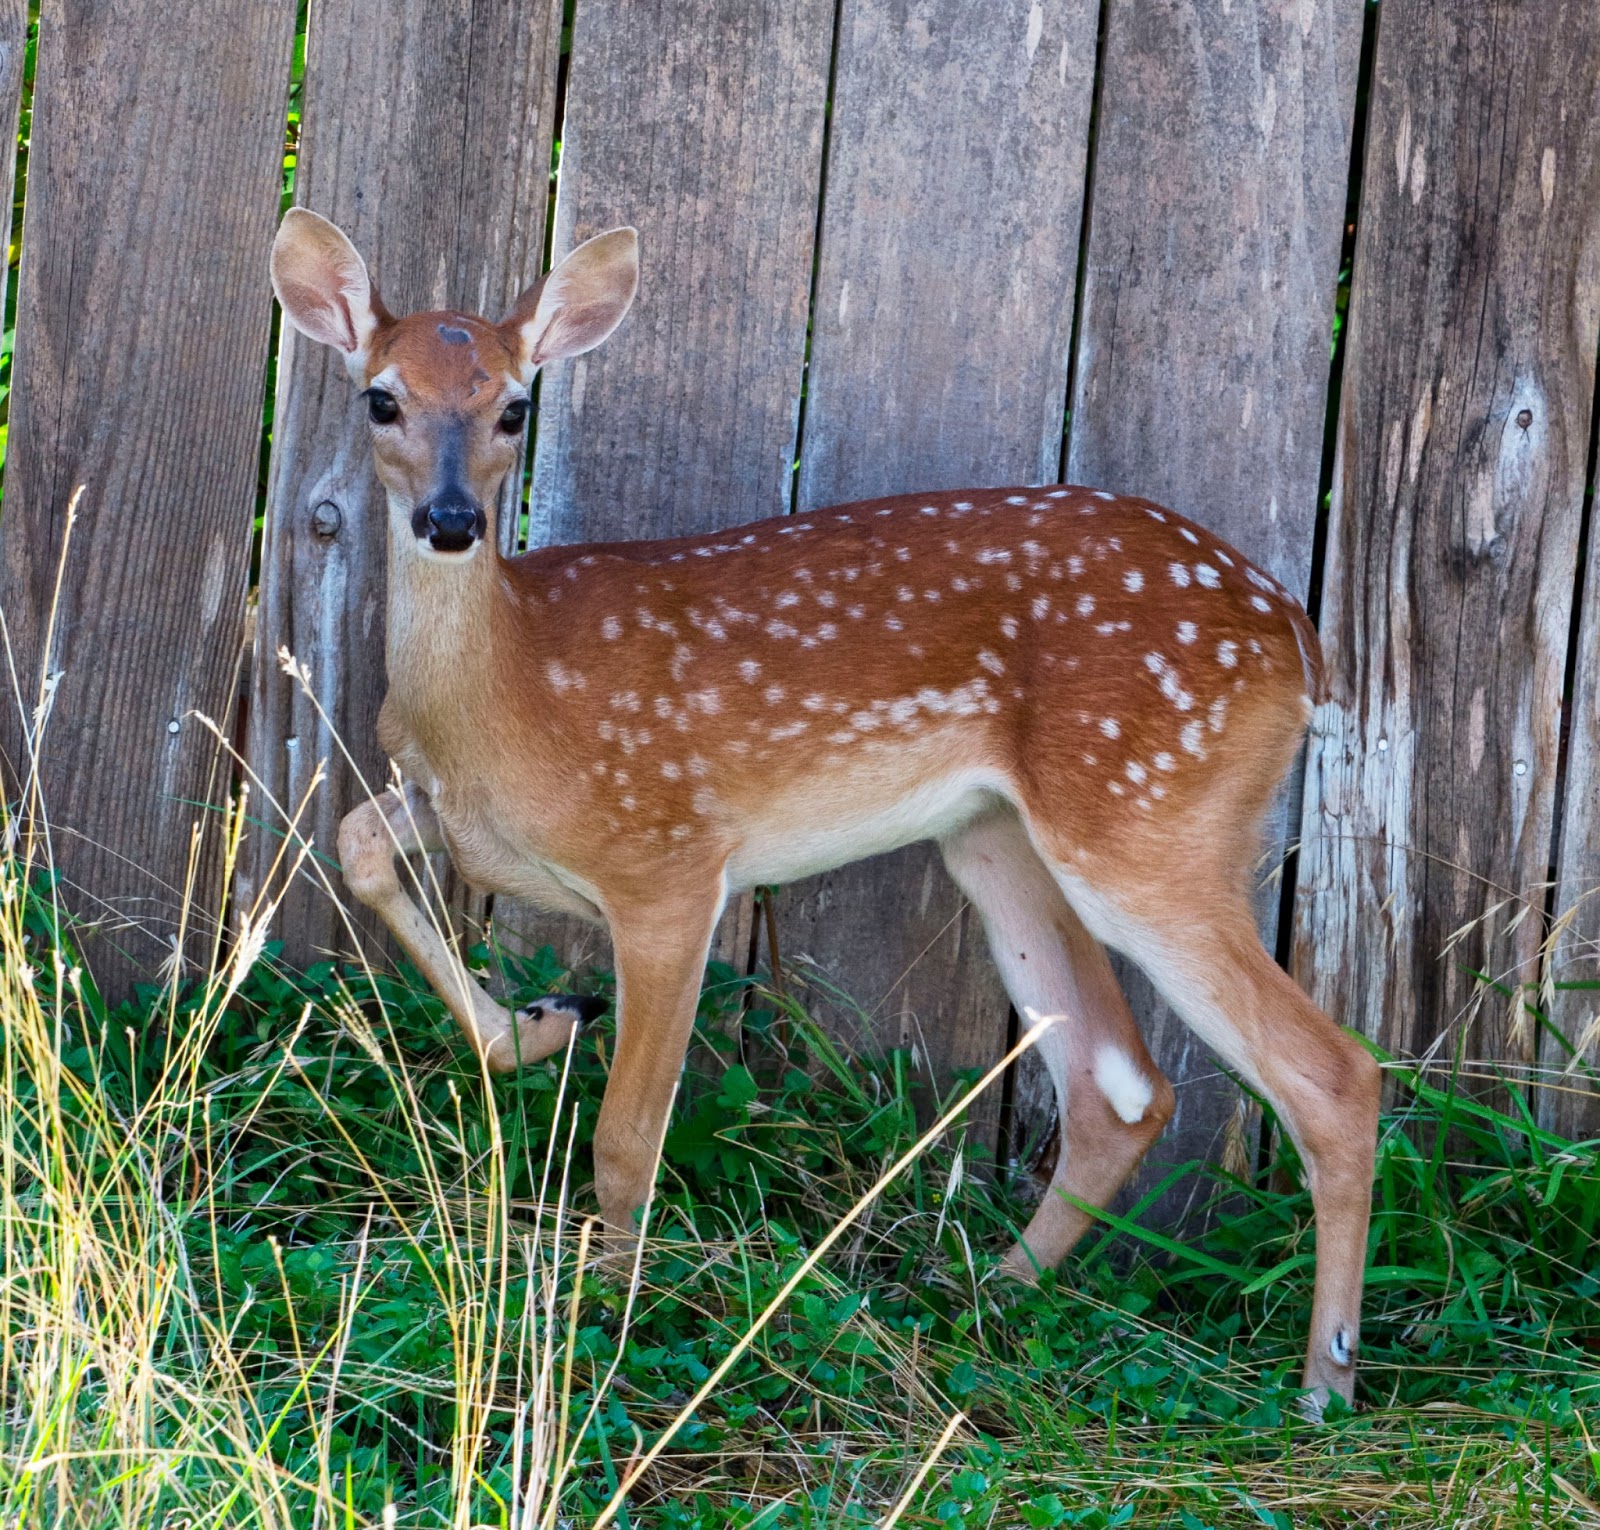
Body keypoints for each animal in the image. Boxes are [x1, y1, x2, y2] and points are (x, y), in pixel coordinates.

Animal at [269, 207, 1380, 1410]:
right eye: (382, 398)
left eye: (516, 405)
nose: (451, 519)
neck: (506, 698)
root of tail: (1298, 641)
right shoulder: (452, 811)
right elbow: (355, 841)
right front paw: (539, 1025)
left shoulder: (669, 861)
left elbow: (627, 1136)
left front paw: (605, 1314)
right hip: (998, 837)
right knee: (1118, 1086)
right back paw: (985, 1295)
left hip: (1149, 815)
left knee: (1331, 1074)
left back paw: (1322, 1383)